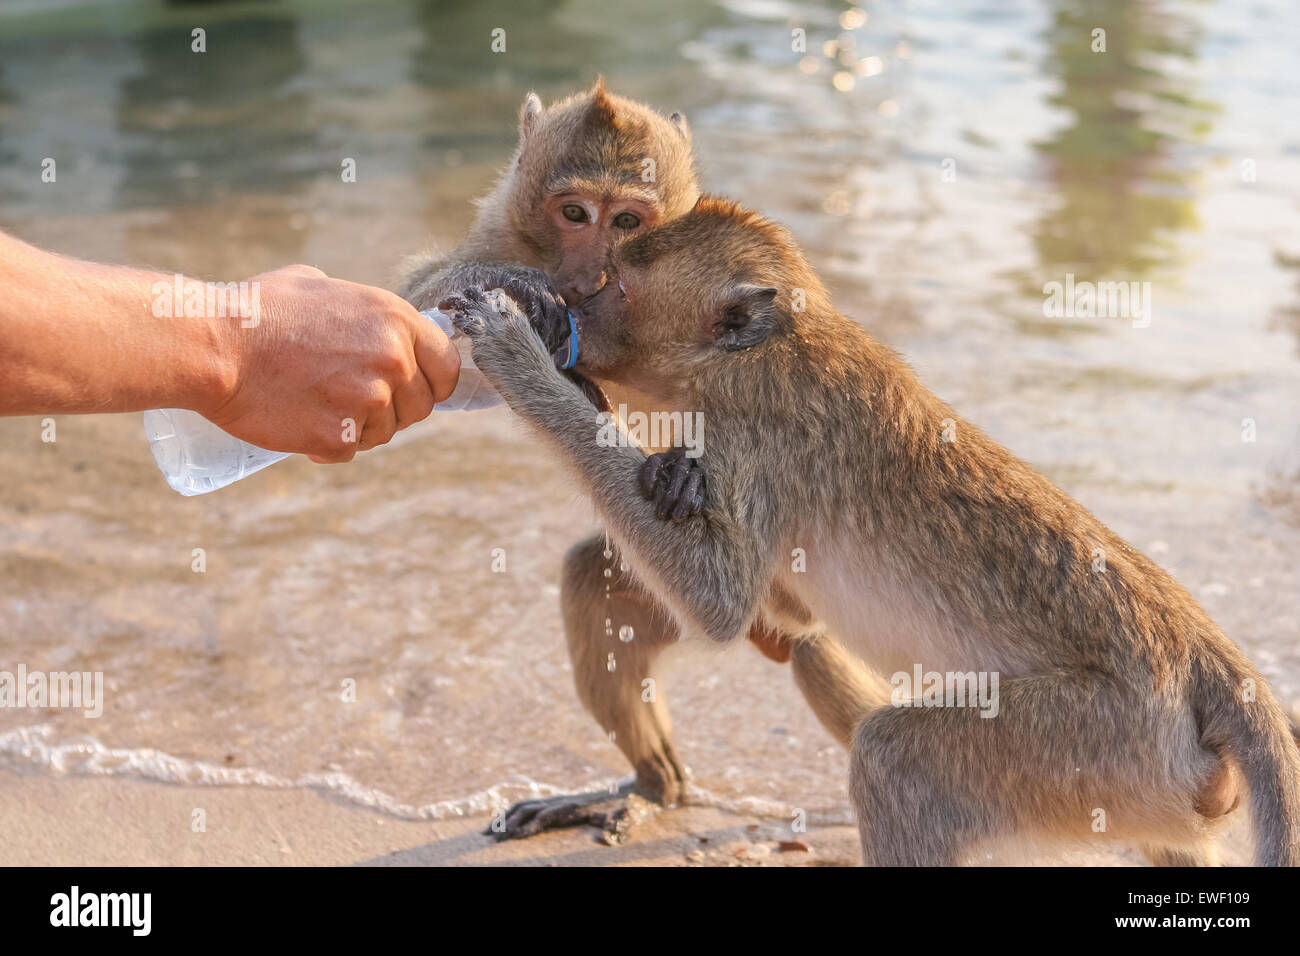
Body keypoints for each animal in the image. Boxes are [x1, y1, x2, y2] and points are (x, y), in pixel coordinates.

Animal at [398, 81, 890, 839]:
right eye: (574, 212)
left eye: (627, 220)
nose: (589, 277)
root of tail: (774, 630)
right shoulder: (500, 229)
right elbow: (413, 301)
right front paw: (510, 289)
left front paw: (682, 466)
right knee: (593, 582)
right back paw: (652, 785)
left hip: (793, 606)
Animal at [437, 196, 1300, 866]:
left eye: (614, 283)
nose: (572, 302)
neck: (765, 346)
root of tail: (1214, 664)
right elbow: (783, 614)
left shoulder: (759, 433)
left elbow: (719, 603)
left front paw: (517, 358)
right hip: (1147, 792)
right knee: (605, 581)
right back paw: (648, 788)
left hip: (1109, 744)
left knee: (895, 756)